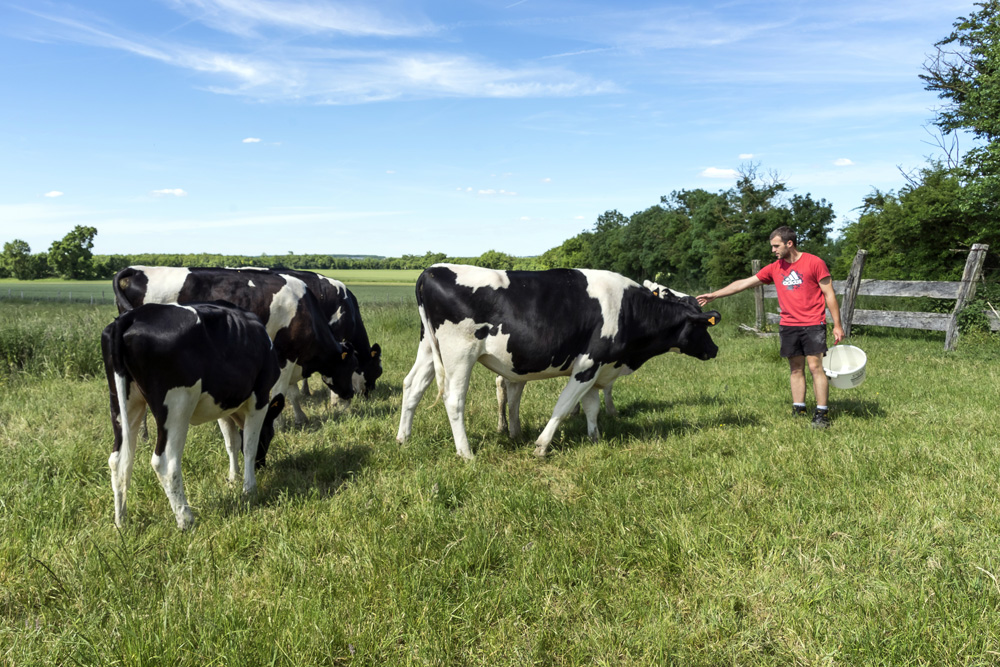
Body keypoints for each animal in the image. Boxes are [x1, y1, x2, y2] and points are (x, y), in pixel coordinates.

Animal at [102, 301, 286, 529]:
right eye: (270, 435)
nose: (262, 465)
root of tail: (132, 316)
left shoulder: (222, 404)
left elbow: (232, 443)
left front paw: (232, 479)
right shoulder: (259, 397)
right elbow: (249, 446)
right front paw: (249, 489)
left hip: (124, 403)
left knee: (118, 461)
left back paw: (121, 522)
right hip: (177, 406)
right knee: (165, 462)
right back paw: (186, 520)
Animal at [113, 266, 359, 439]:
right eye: (349, 368)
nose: (350, 396)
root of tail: (136, 270)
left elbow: (291, 392)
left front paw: (299, 418)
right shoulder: (285, 355)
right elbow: (283, 392)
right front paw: (282, 424)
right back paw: (144, 435)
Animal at [493, 280, 701, 437]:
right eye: (667, 292)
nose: (695, 300)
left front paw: (582, 411)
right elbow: (604, 388)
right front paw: (611, 411)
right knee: (503, 386)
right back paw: (504, 425)